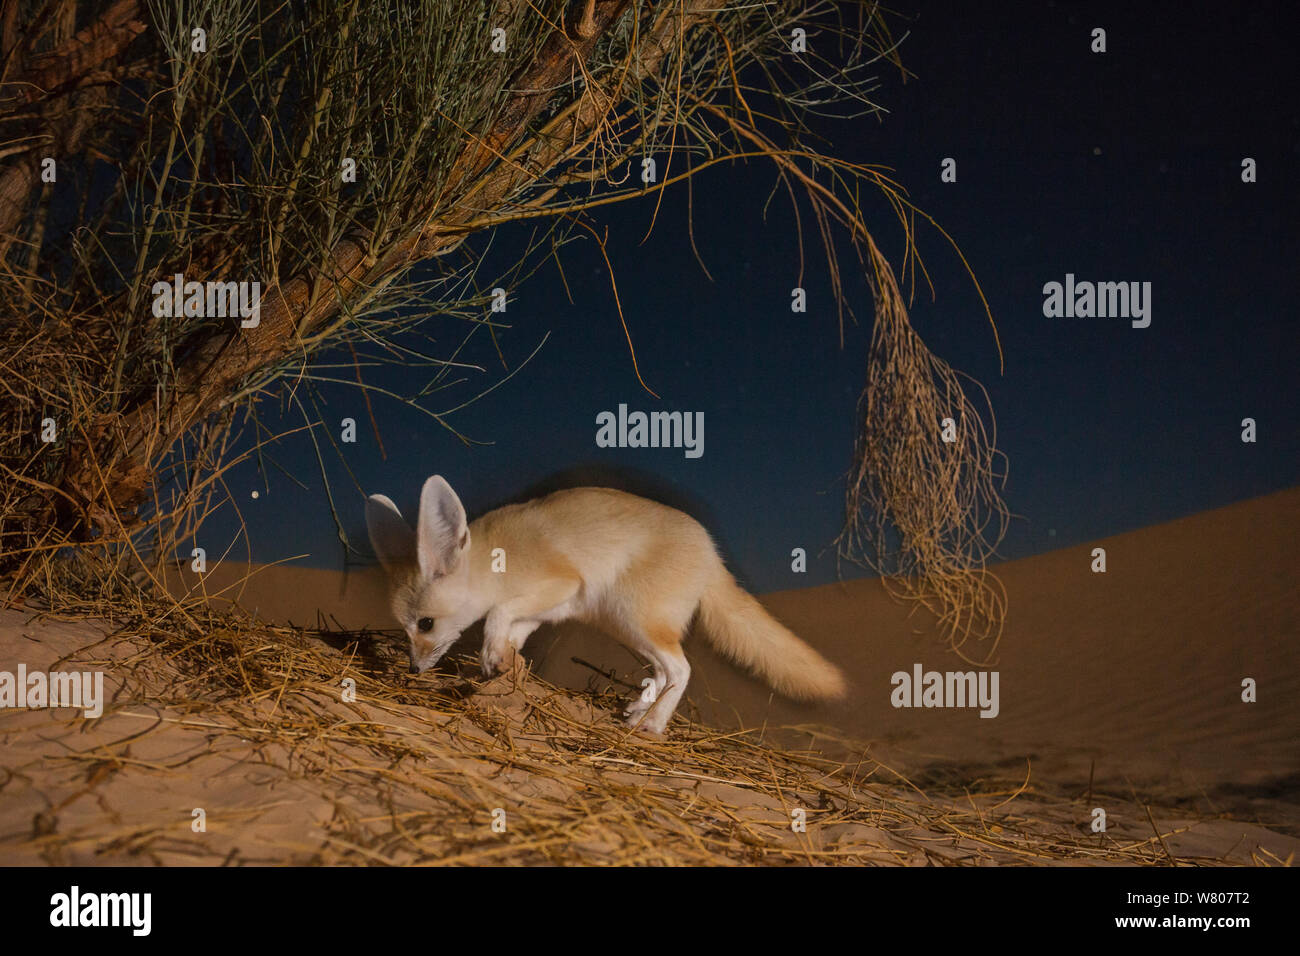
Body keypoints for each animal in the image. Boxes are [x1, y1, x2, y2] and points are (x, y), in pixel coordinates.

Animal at [365, 475, 847, 734]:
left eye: (425, 624)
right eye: (406, 627)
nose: (413, 669)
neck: (491, 559)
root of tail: (714, 556)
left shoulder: (562, 583)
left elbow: (499, 614)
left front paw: (490, 658)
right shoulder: (550, 608)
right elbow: (513, 630)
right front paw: (503, 668)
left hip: (635, 618)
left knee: (681, 669)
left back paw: (651, 725)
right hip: (624, 626)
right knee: (663, 671)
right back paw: (637, 711)